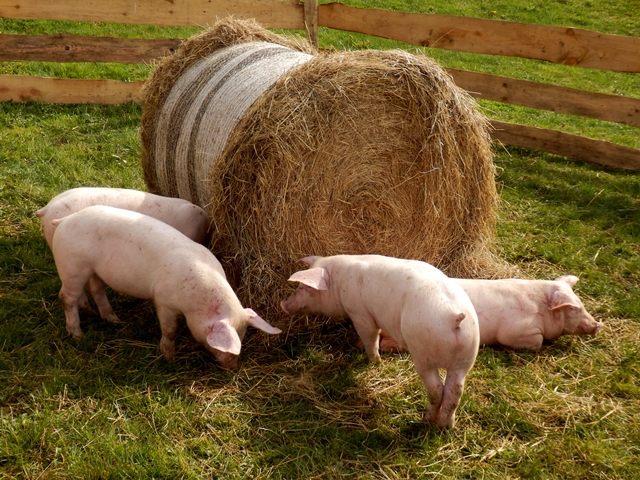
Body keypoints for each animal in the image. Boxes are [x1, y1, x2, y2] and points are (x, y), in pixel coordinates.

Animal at [50, 205, 281, 369]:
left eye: (243, 335)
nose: (233, 366)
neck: (197, 301)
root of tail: (64, 220)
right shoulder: (164, 300)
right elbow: (170, 329)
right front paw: (170, 359)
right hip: (73, 266)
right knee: (66, 297)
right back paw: (78, 336)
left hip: (94, 270)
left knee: (95, 289)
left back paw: (114, 320)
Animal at [280, 254, 479, 430]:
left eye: (302, 287)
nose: (284, 305)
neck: (339, 281)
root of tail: (455, 316)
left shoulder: (359, 313)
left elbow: (370, 337)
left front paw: (373, 361)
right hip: (466, 357)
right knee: (455, 391)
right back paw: (446, 427)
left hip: (424, 355)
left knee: (437, 389)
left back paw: (427, 420)